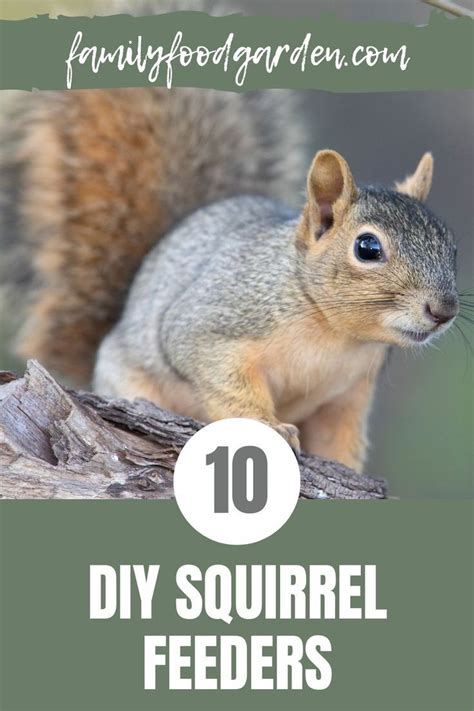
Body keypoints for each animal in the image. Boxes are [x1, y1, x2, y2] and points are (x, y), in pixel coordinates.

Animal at [1, 84, 459, 473]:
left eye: (452, 246)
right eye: (367, 248)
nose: (444, 310)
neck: (334, 334)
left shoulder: (349, 394)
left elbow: (337, 439)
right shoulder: (216, 323)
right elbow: (227, 383)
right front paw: (270, 426)